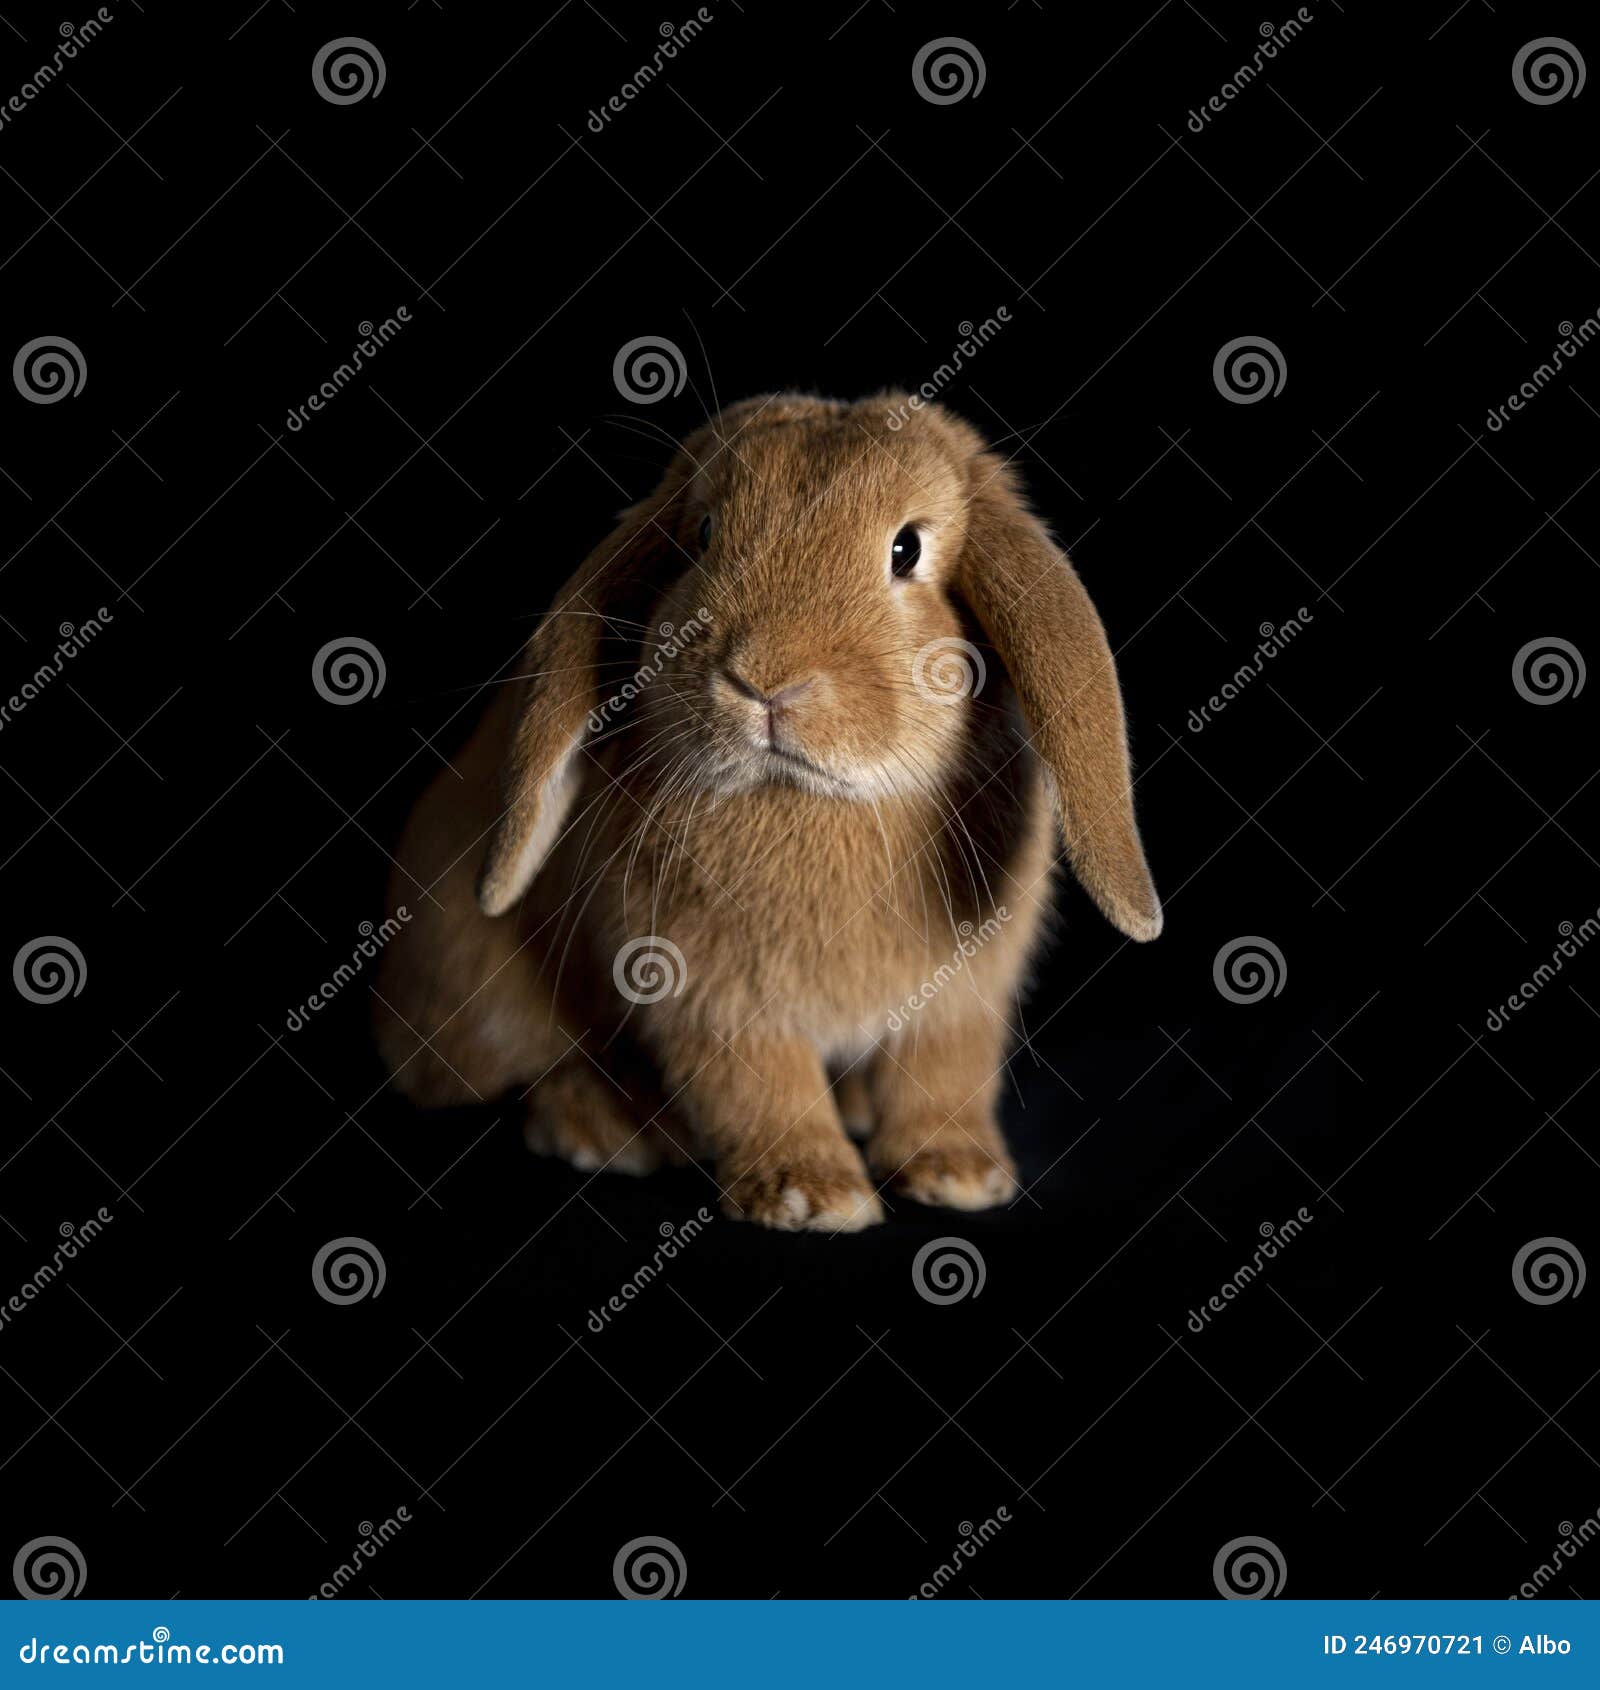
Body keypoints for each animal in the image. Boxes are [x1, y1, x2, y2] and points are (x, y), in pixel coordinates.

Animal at [373, 393, 1161, 1231]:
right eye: (704, 535)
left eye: (907, 549)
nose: (764, 680)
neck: (816, 799)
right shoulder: (713, 995)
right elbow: (758, 1086)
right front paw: (811, 1193)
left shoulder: (962, 993)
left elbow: (946, 1069)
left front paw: (959, 1175)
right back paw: (610, 1126)